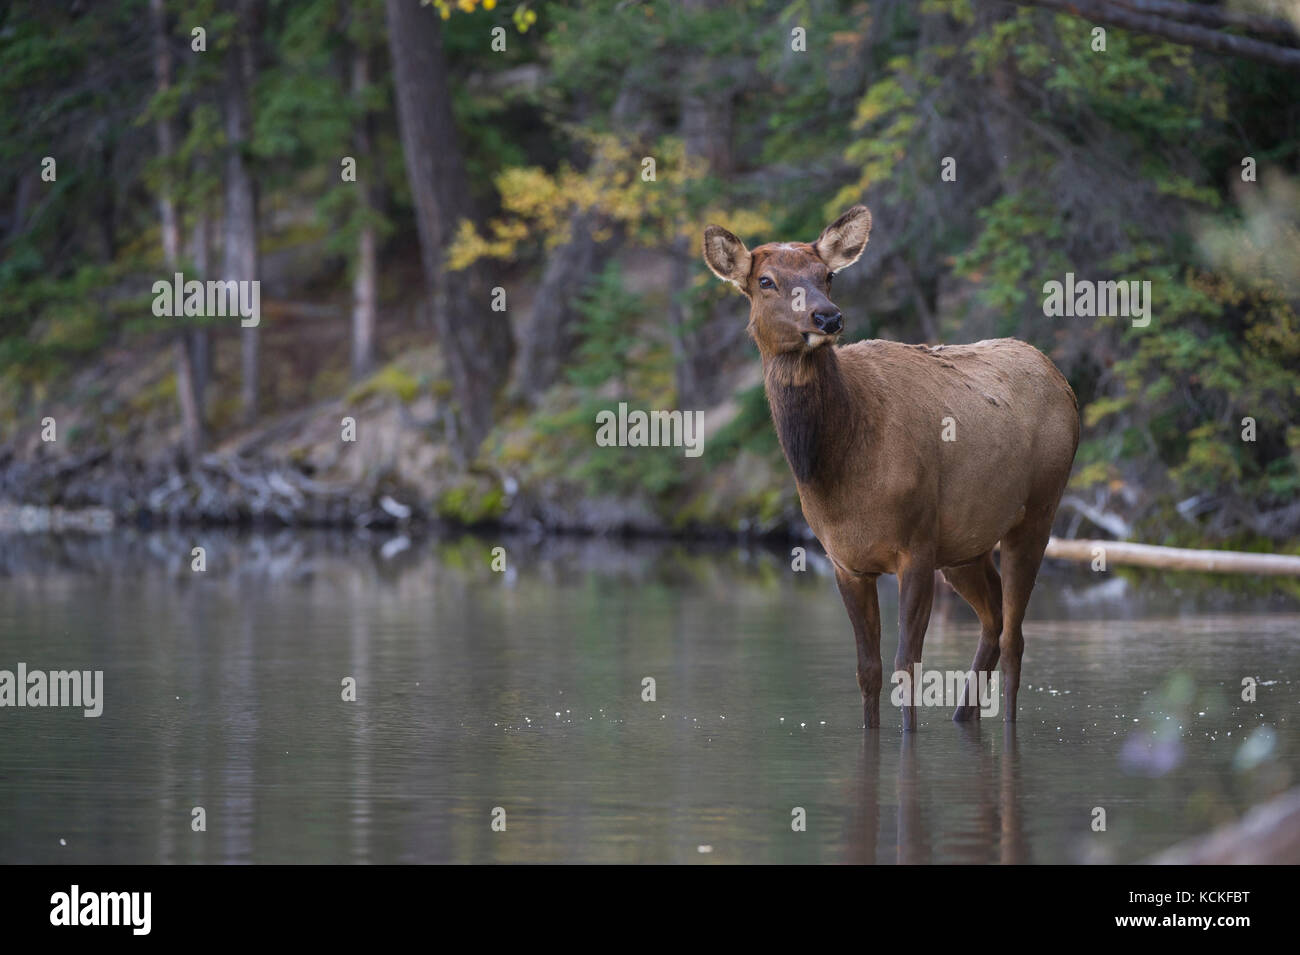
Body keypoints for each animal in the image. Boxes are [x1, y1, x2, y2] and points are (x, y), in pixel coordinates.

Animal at [702, 206, 1079, 731]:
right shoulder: (845, 560)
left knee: (1013, 636)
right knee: (994, 619)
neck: (841, 470)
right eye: (765, 281)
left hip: (1037, 512)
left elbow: (907, 664)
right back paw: (963, 714)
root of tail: (1062, 380)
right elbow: (868, 669)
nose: (828, 316)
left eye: (828, 275)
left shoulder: (916, 544)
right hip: (965, 544)